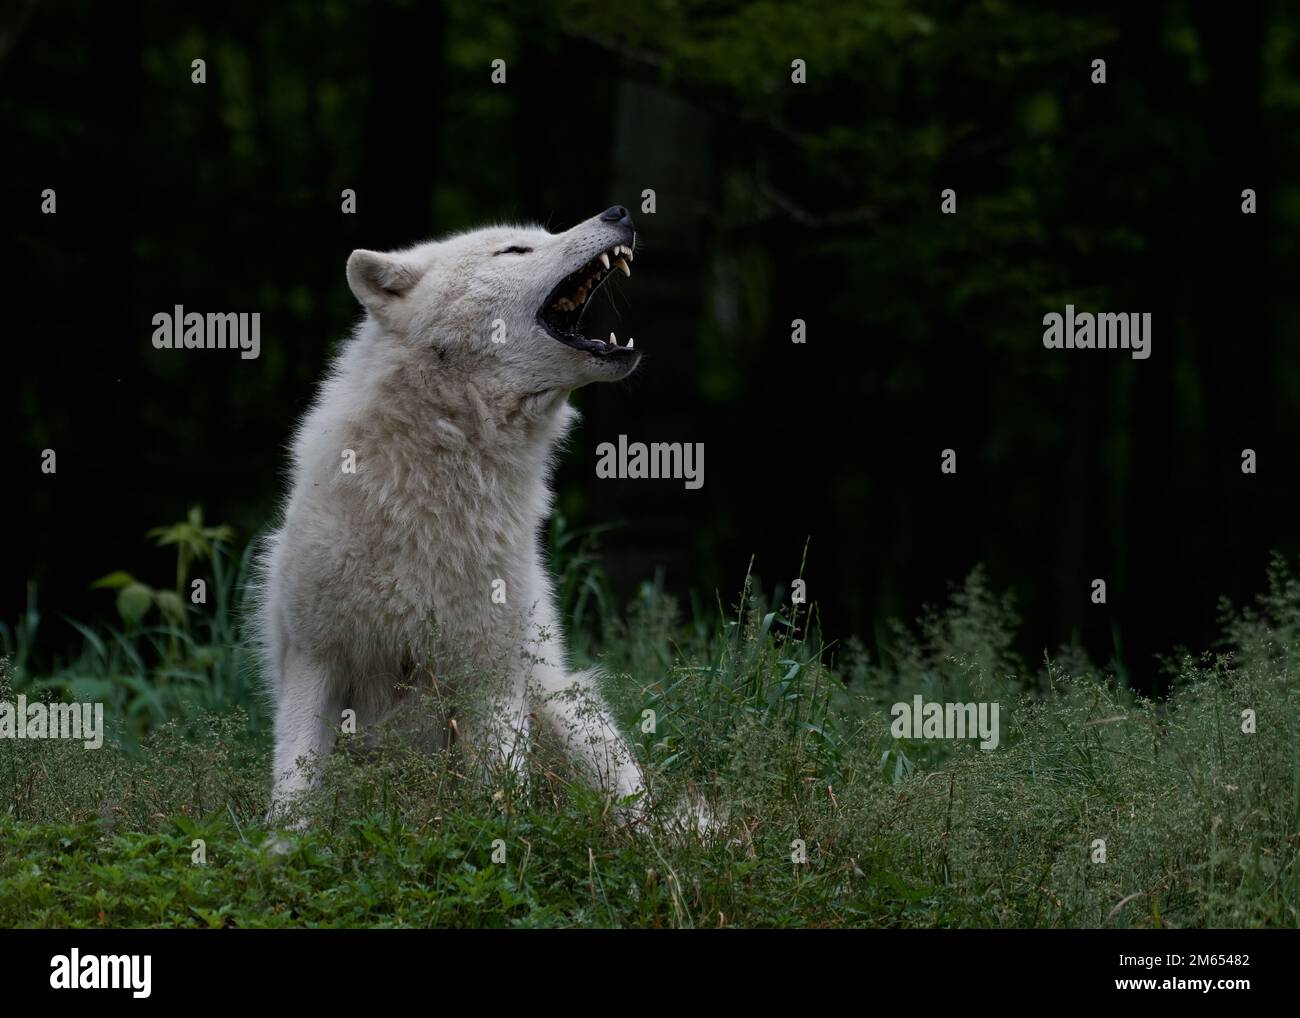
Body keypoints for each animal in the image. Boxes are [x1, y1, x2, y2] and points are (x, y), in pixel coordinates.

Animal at [254, 205, 660, 825]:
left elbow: (503, 790)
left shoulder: (492, 676)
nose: (619, 211)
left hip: (568, 713)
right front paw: (283, 846)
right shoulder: (314, 658)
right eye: (515, 250)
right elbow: (295, 788)